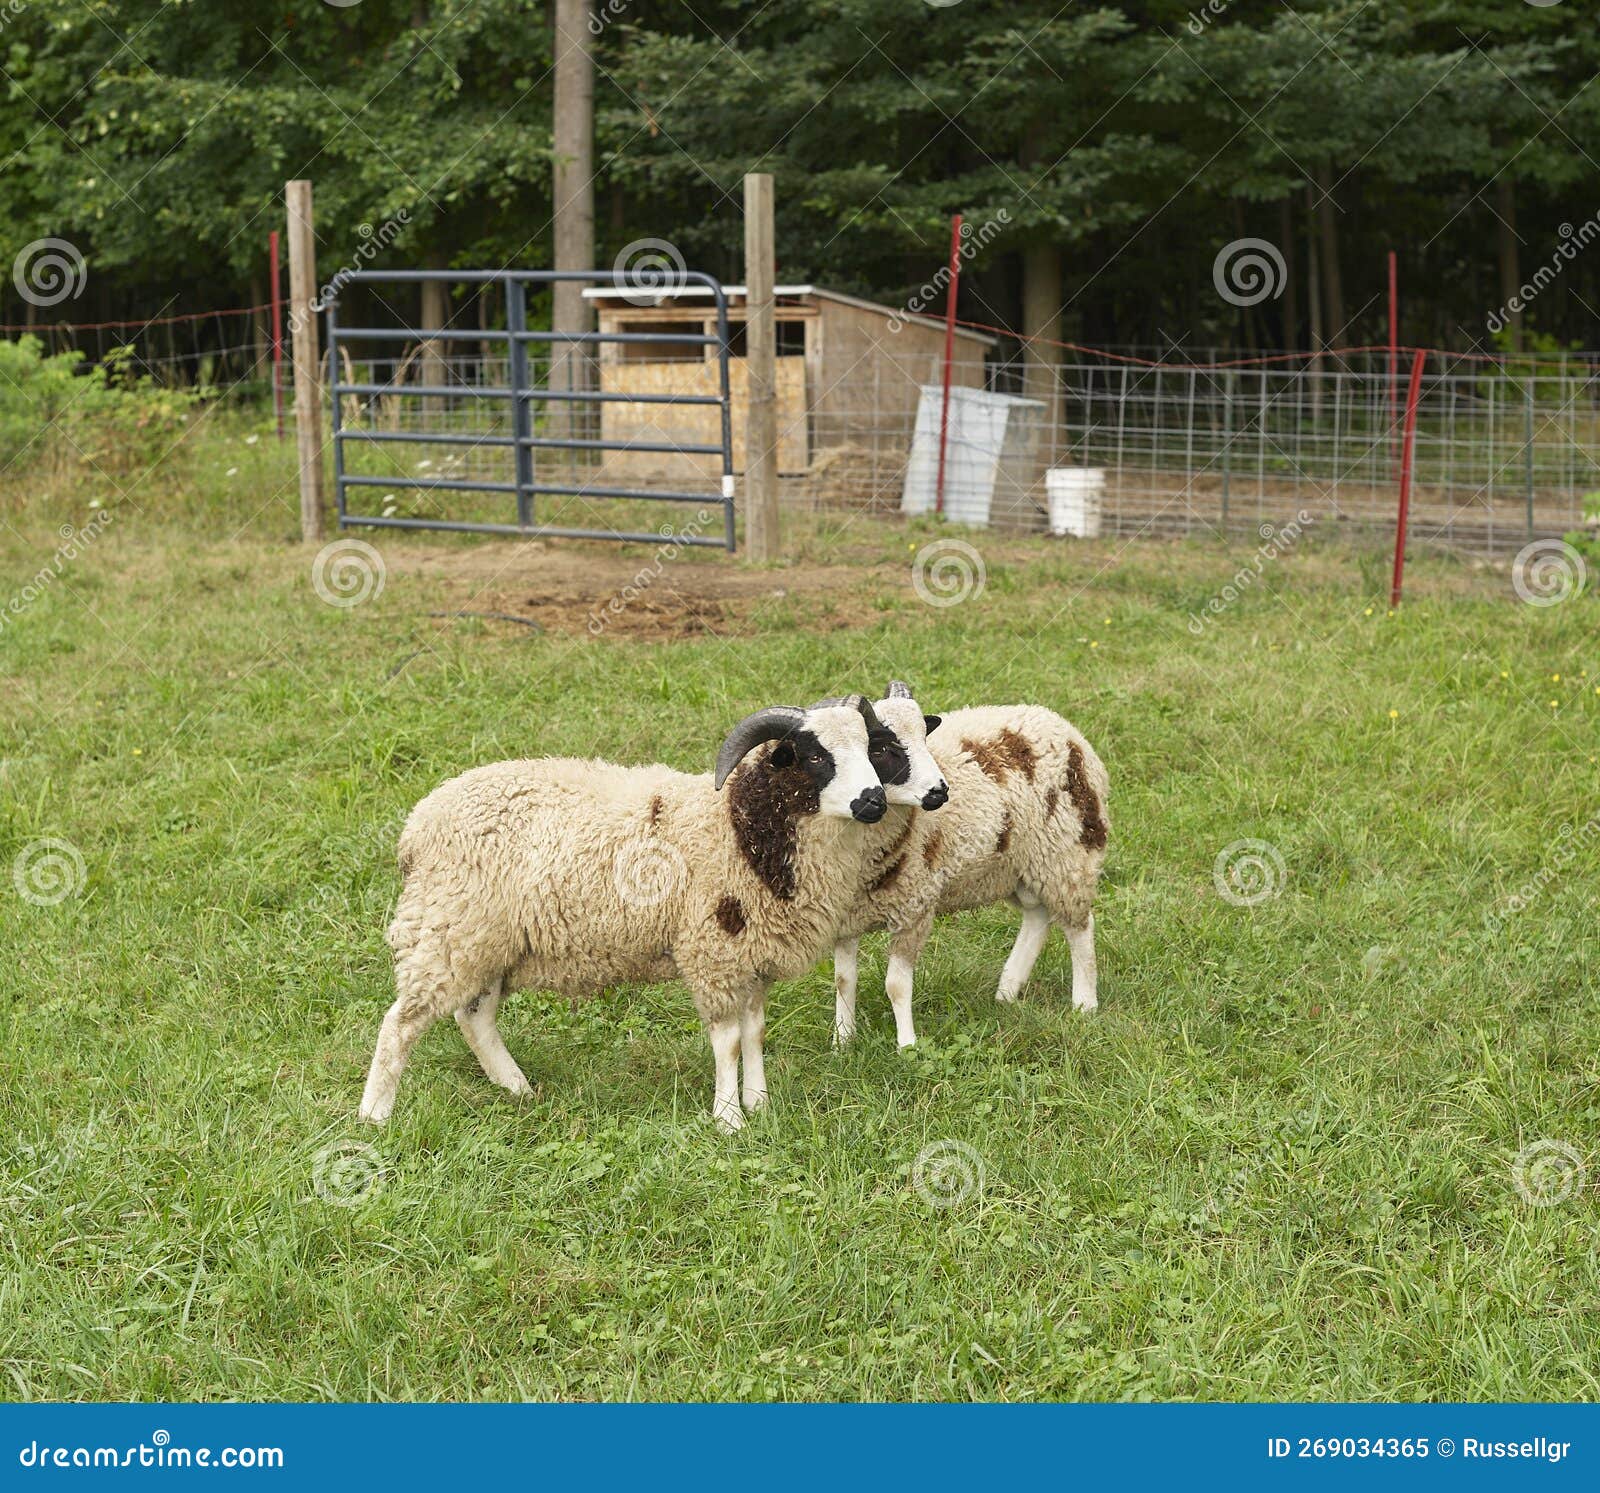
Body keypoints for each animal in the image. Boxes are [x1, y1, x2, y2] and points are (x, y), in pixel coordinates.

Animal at [359, 696, 914, 1132]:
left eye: (869, 749)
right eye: (815, 756)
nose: (872, 800)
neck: (738, 824)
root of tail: (418, 823)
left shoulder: (751, 953)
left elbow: (755, 1031)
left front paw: (759, 1104)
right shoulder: (713, 950)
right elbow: (729, 1041)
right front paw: (728, 1119)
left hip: (491, 940)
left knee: (475, 1017)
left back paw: (519, 1090)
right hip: (448, 925)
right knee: (400, 1023)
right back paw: (375, 1116)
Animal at [831, 700, 1109, 1048]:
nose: (938, 792)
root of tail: (1059, 723)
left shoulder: (915, 907)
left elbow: (896, 984)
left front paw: (907, 1046)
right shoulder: (845, 917)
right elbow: (844, 980)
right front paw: (842, 1042)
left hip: (1065, 854)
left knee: (1079, 926)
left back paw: (1084, 1004)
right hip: (1016, 867)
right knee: (1037, 917)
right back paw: (1007, 991)